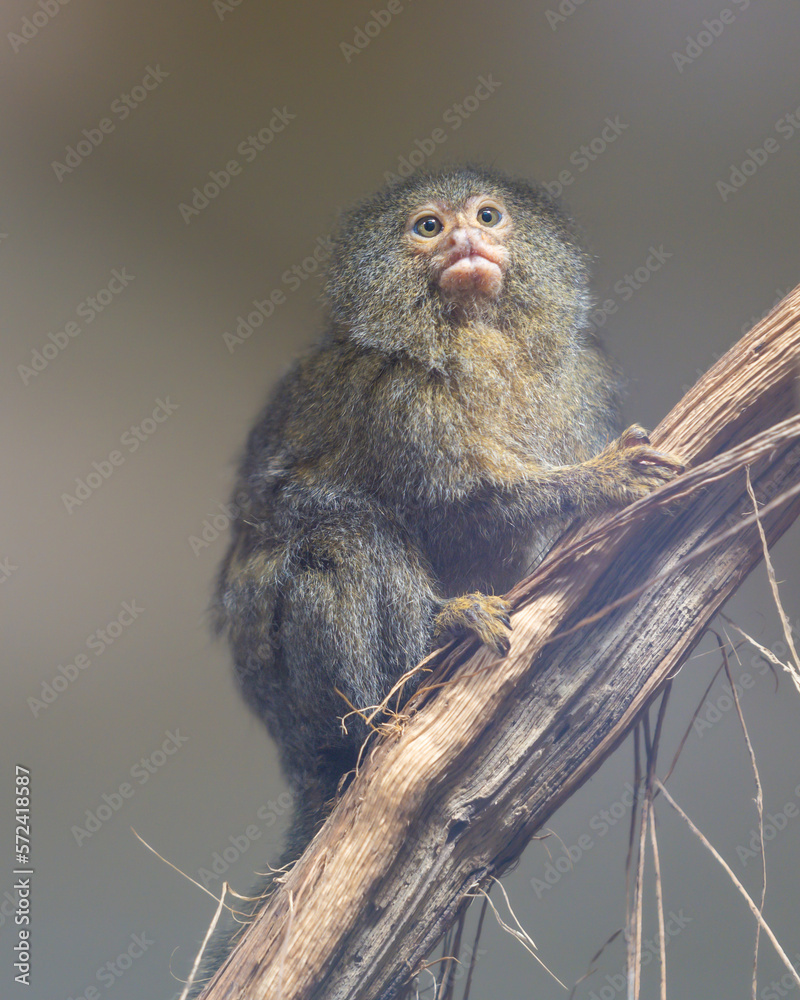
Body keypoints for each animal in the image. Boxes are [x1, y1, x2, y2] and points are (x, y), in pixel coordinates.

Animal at [185, 165, 683, 995]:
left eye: (488, 216)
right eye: (426, 227)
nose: (463, 242)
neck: (478, 337)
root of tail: (298, 754)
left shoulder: (577, 381)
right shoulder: (402, 396)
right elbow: (454, 502)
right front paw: (599, 481)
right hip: (300, 689)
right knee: (346, 540)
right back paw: (421, 659)